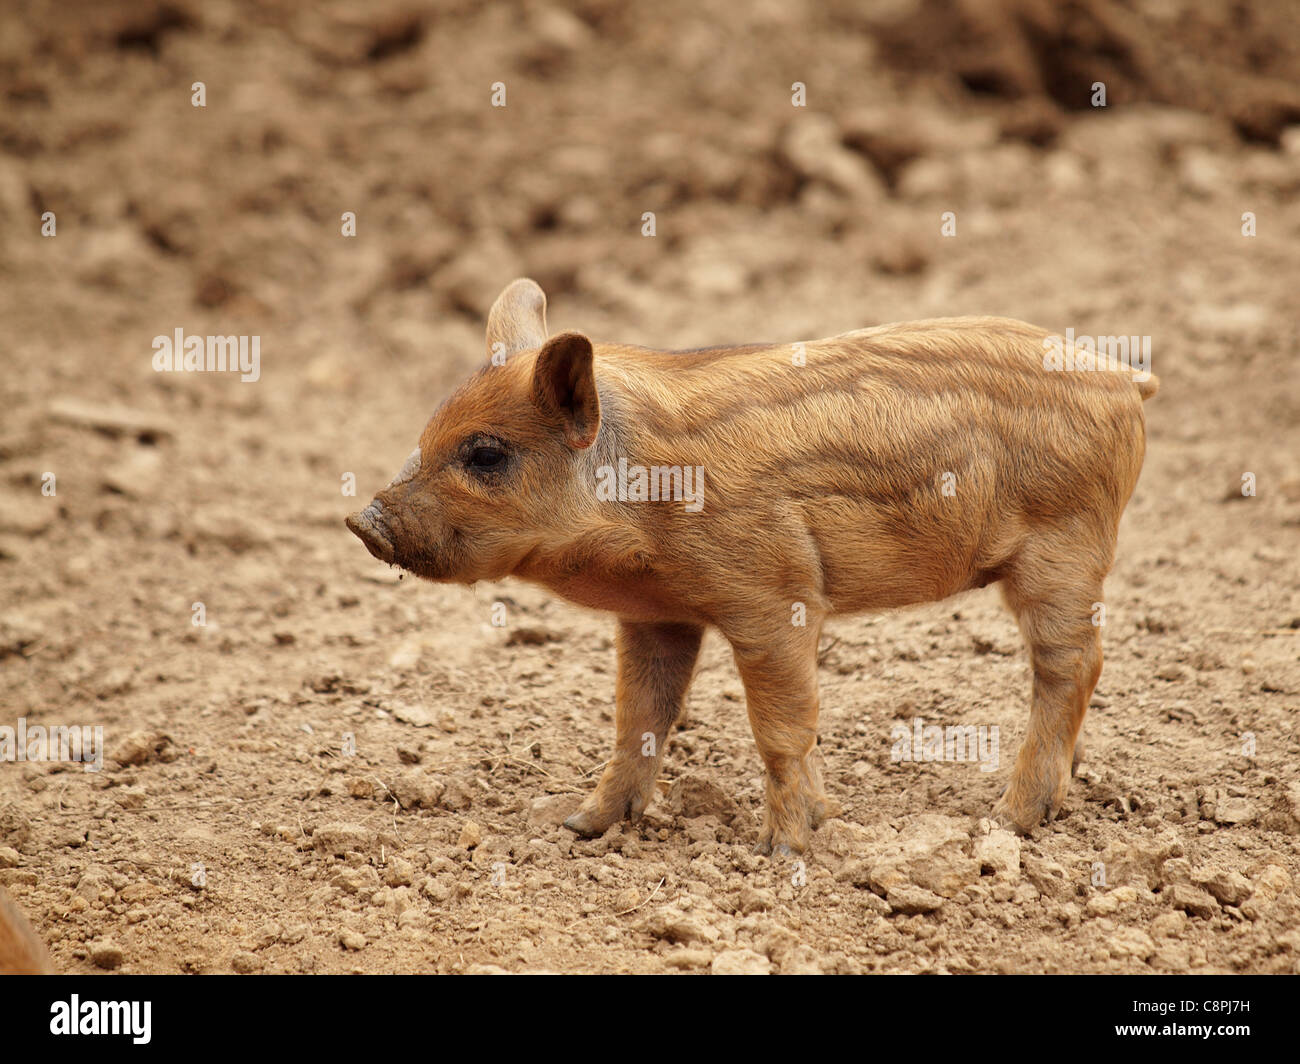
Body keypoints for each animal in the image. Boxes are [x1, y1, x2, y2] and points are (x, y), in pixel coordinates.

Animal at [347, 279, 1157, 855]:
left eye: (486, 454)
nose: (362, 520)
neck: (640, 501)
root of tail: (1119, 375)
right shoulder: (655, 615)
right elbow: (640, 718)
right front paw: (582, 827)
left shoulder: (776, 598)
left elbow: (780, 728)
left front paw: (783, 850)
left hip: (1066, 548)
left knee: (1073, 663)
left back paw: (1009, 819)